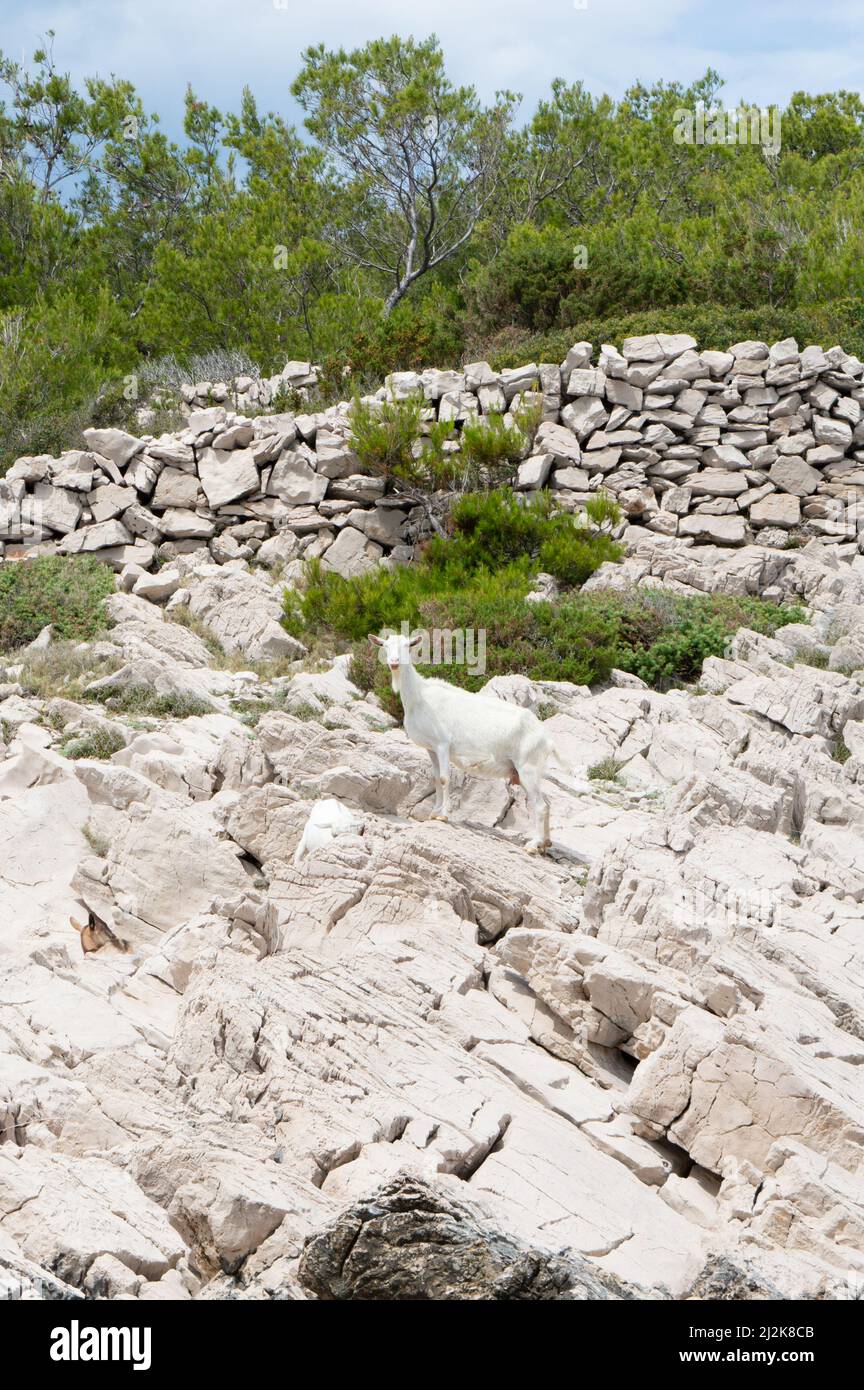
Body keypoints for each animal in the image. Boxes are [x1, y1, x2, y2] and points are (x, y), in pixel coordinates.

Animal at [369, 630, 556, 853]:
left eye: (408, 646)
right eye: (385, 646)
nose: (395, 663)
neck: (420, 696)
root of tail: (546, 738)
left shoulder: (442, 744)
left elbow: (444, 778)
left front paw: (443, 815)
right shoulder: (431, 749)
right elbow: (435, 778)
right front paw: (434, 812)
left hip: (528, 767)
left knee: (539, 805)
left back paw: (533, 845)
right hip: (530, 772)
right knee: (545, 802)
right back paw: (545, 843)